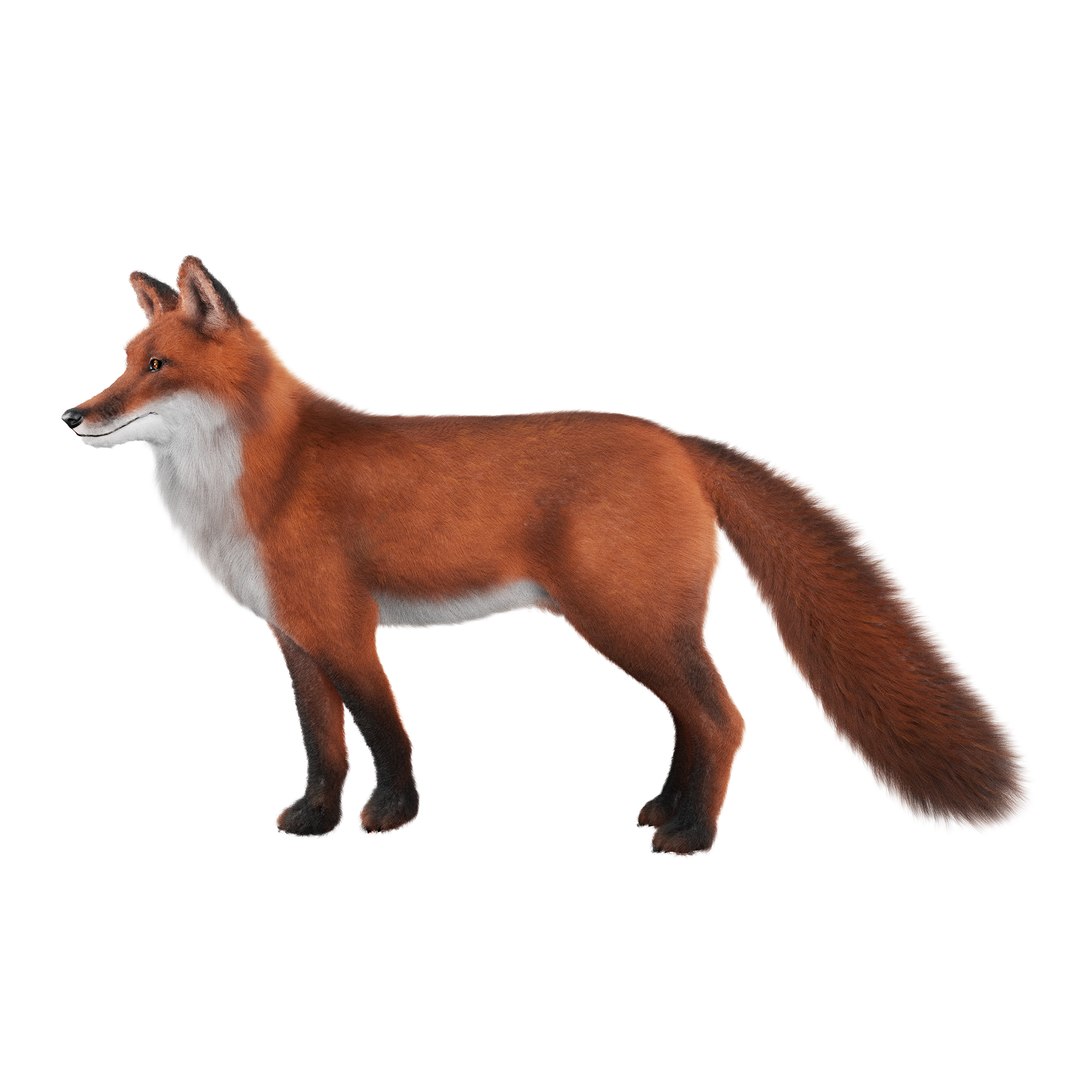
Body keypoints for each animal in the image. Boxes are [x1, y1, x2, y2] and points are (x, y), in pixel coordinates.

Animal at [63, 257, 1021, 853]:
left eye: (157, 366)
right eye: (123, 363)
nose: (73, 415)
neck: (262, 474)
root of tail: (678, 442)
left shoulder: (345, 629)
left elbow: (385, 732)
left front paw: (393, 815)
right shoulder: (295, 636)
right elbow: (321, 742)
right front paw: (314, 817)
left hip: (626, 622)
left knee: (723, 719)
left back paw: (693, 835)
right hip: (640, 628)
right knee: (694, 721)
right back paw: (668, 808)